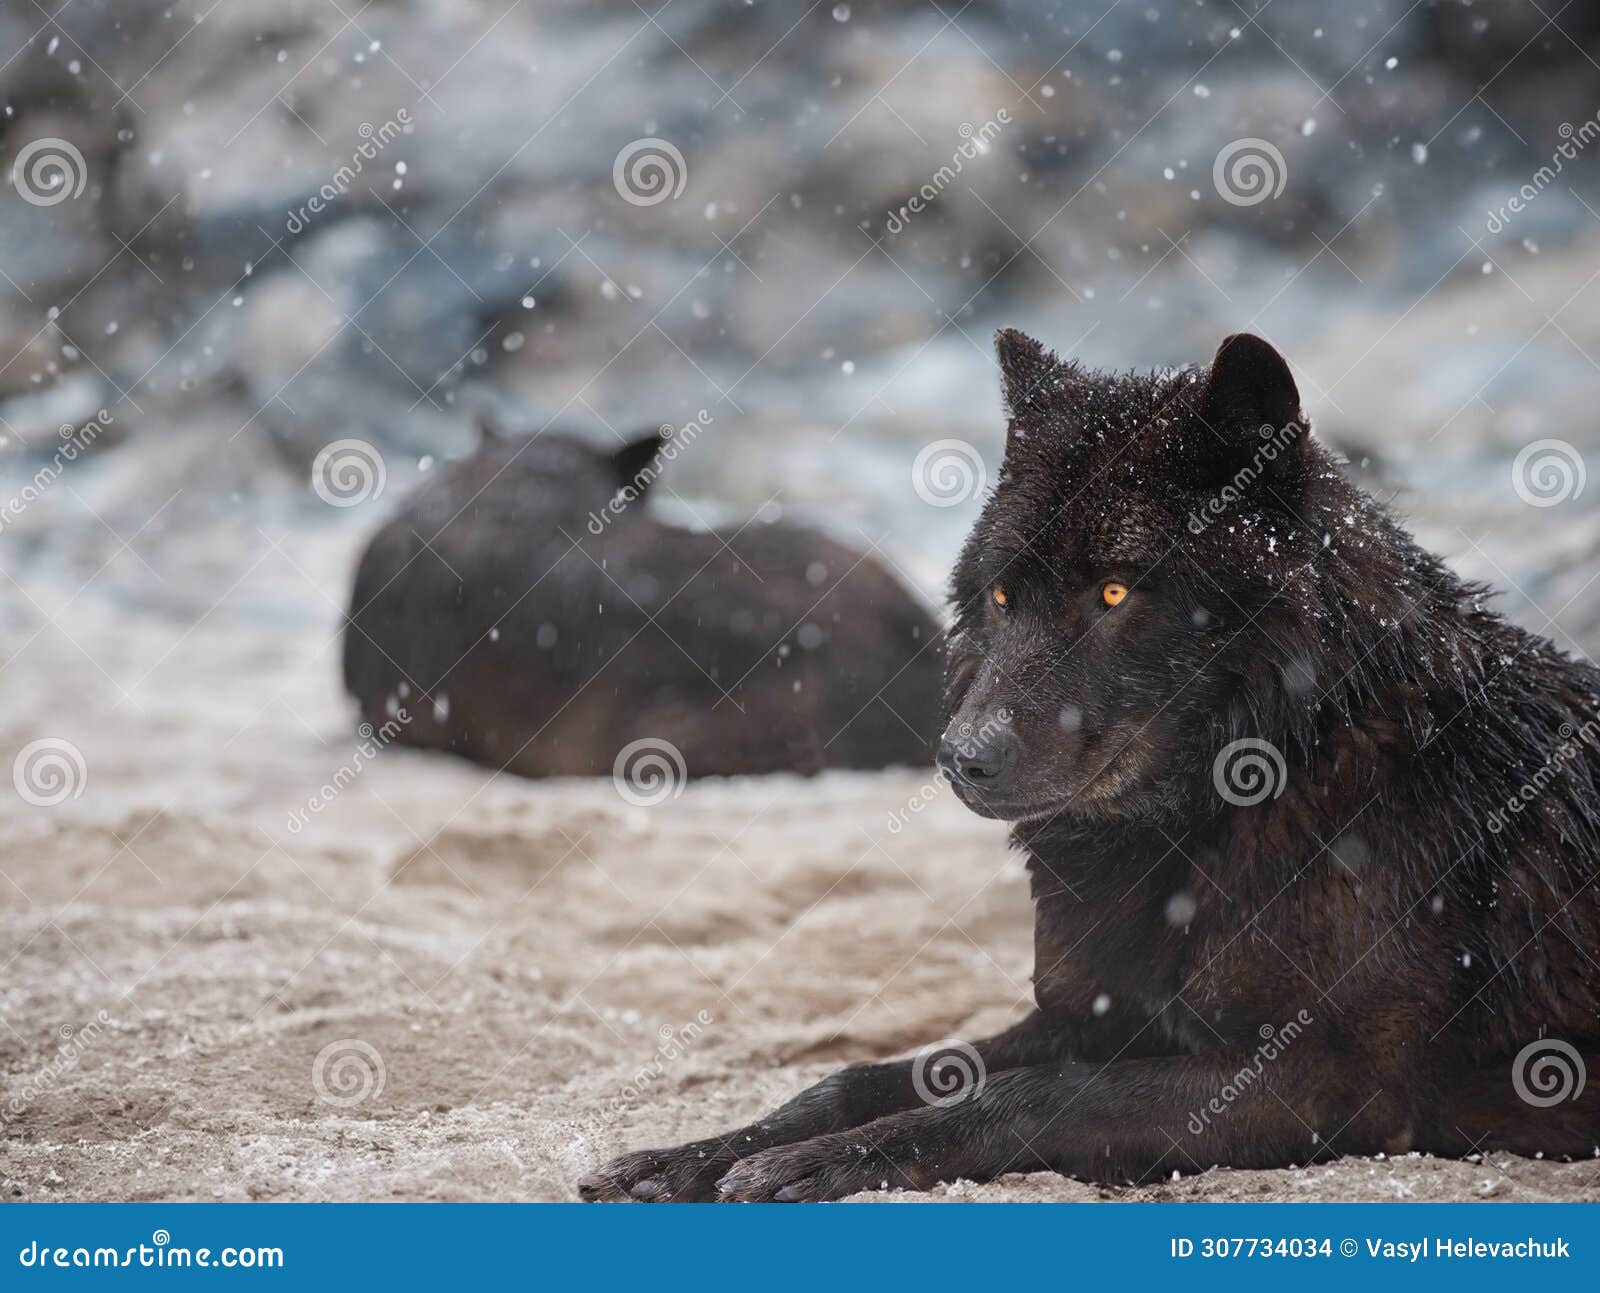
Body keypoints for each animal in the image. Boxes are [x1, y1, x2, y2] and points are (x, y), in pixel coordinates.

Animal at [580, 329, 1600, 1201]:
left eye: (1112, 592)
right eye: (1001, 596)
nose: (960, 758)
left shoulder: (1330, 1078)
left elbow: (1030, 1097)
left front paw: (818, 1163)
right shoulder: (1085, 1018)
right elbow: (859, 1078)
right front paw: (696, 1154)